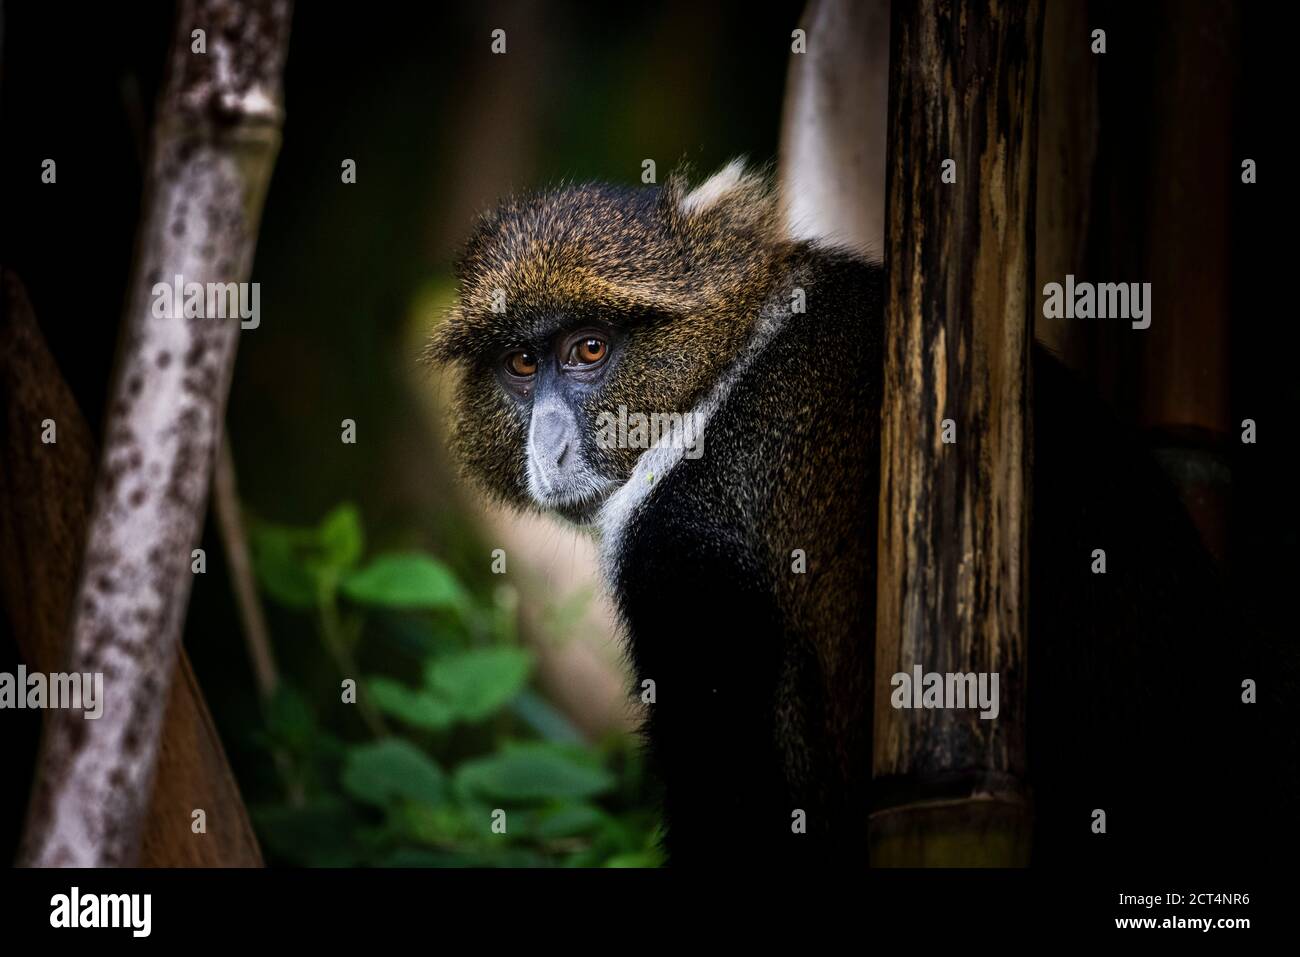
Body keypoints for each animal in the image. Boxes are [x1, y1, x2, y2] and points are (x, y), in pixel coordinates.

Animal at [427, 161, 1297, 868]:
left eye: (589, 350)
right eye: (522, 363)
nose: (549, 449)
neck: (719, 377)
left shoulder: (688, 556)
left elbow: (736, 807)